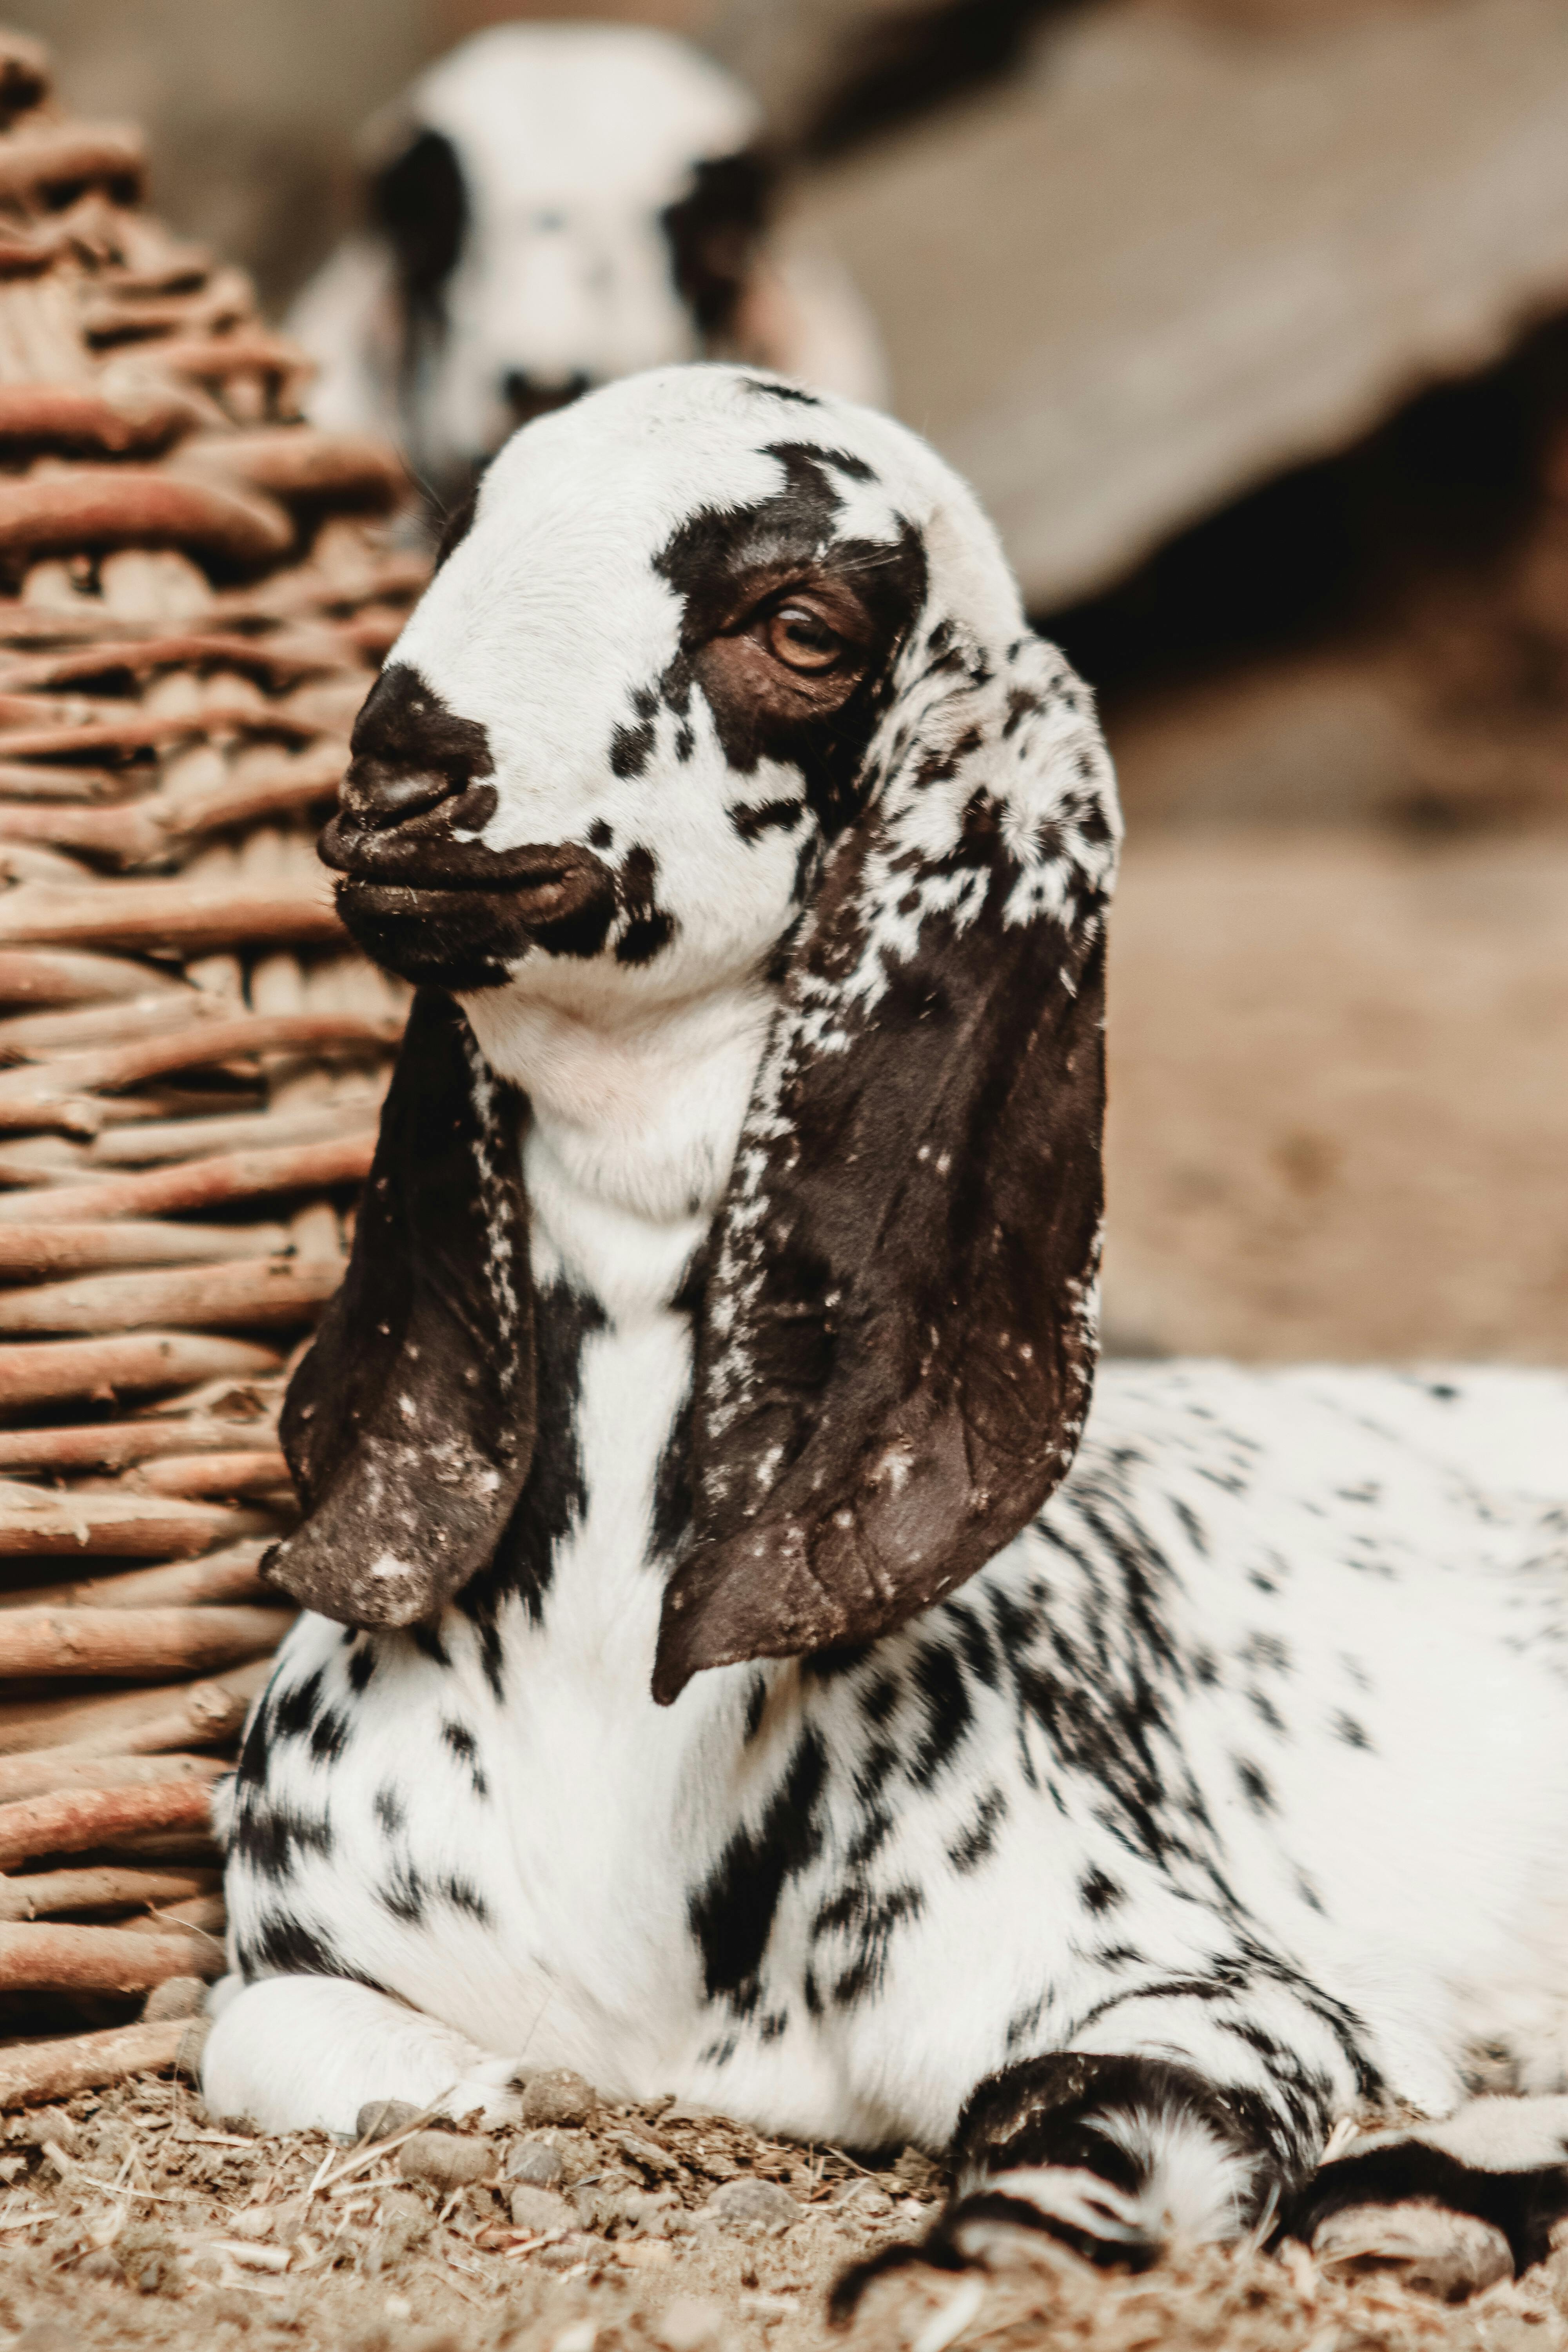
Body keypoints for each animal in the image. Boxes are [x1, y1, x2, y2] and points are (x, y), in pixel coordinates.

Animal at [206, 364, 1568, 2299]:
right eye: (467, 519)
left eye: (800, 626)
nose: (403, 765)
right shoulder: (290, 1974)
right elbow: (295, 2044)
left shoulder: (1191, 1987)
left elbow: (1064, 2135)